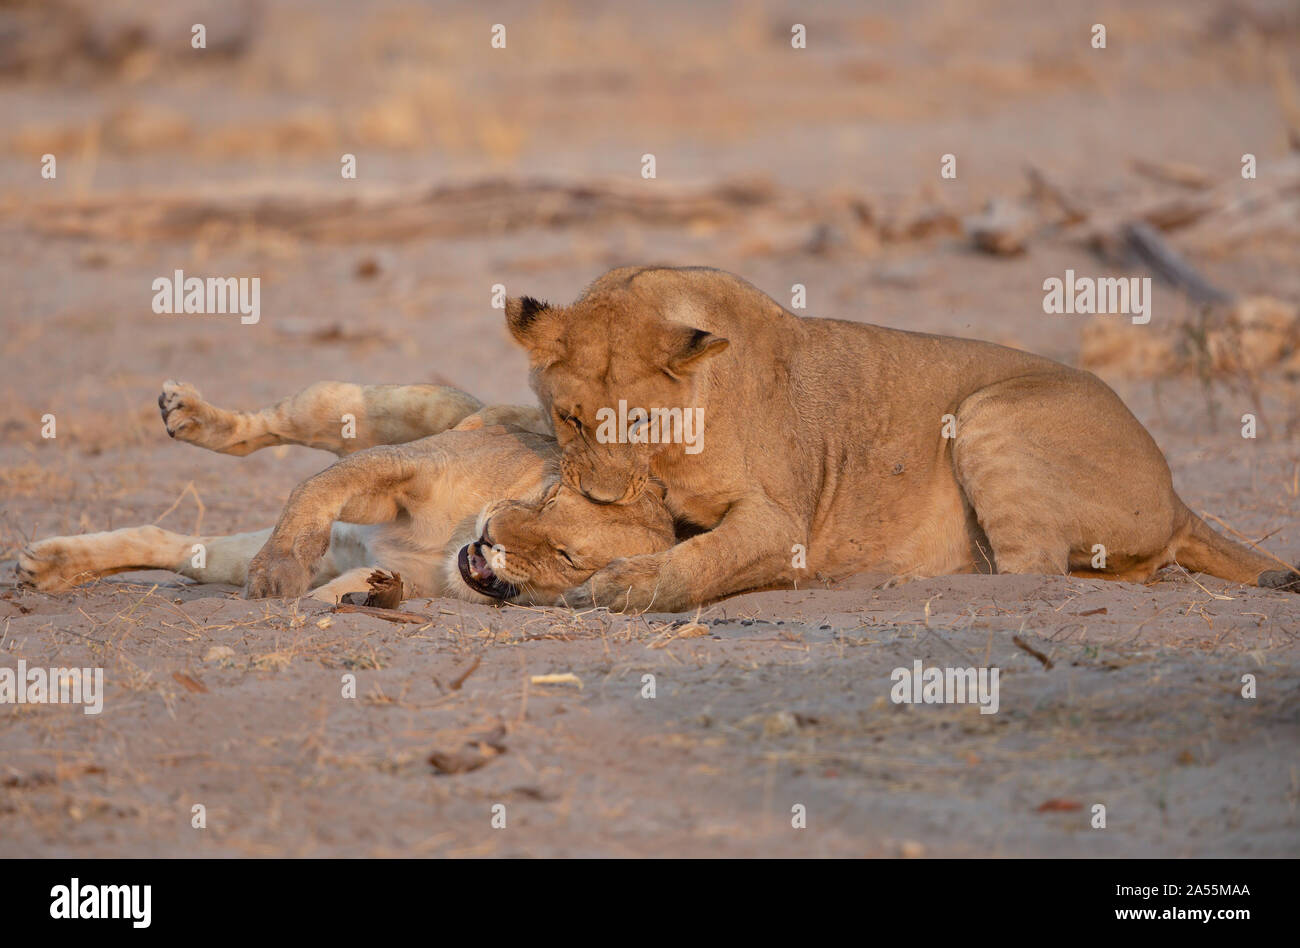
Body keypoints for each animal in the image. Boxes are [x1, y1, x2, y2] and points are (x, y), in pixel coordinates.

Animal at [16, 381, 675, 606]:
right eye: (548, 497)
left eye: (567, 556)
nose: (489, 537)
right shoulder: (408, 468)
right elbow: (317, 485)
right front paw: (280, 569)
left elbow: (351, 588)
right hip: (389, 406)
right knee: (274, 426)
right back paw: (190, 414)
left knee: (177, 547)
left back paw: (49, 565)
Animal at [502, 265, 1300, 612]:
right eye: (571, 419)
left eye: (639, 420)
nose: (603, 496)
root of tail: (1178, 494)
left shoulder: (784, 524)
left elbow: (705, 557)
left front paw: (625, 584)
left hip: (988, 415)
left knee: (1034, 570)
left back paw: (900, 580)